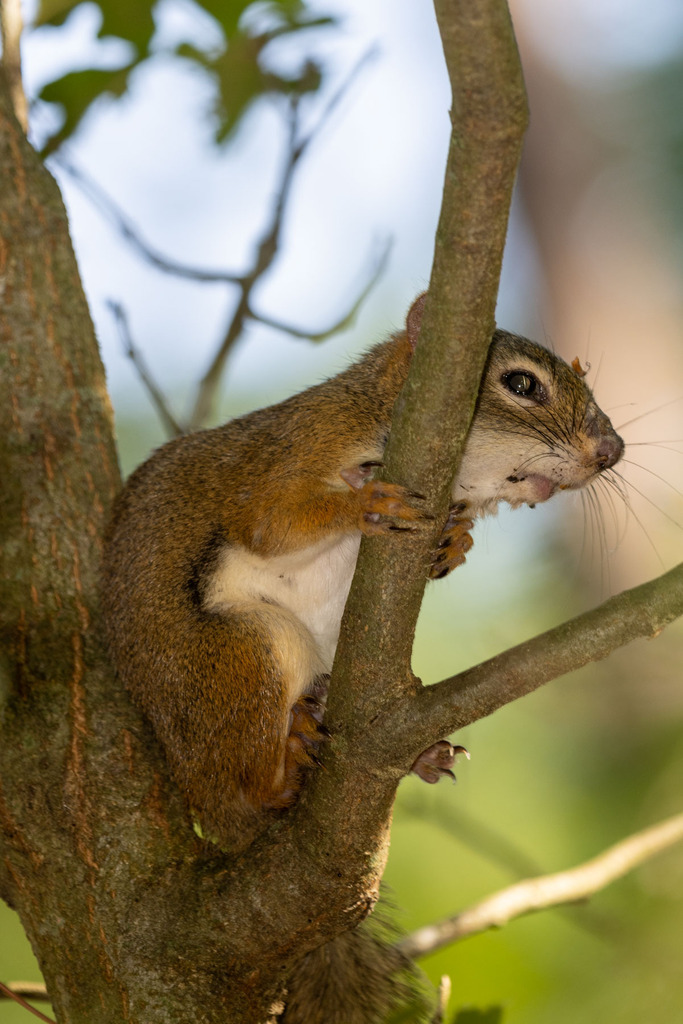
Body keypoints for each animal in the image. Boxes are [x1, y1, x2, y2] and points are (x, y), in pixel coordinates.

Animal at [101, 292, 623, 851]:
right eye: (522, 384)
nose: (613, 450)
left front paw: (457, 540)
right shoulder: (305, 443)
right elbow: (269, 525)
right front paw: (367, 503)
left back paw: (410, 753)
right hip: (238, 654)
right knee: (253, 789)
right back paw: (287, 768)